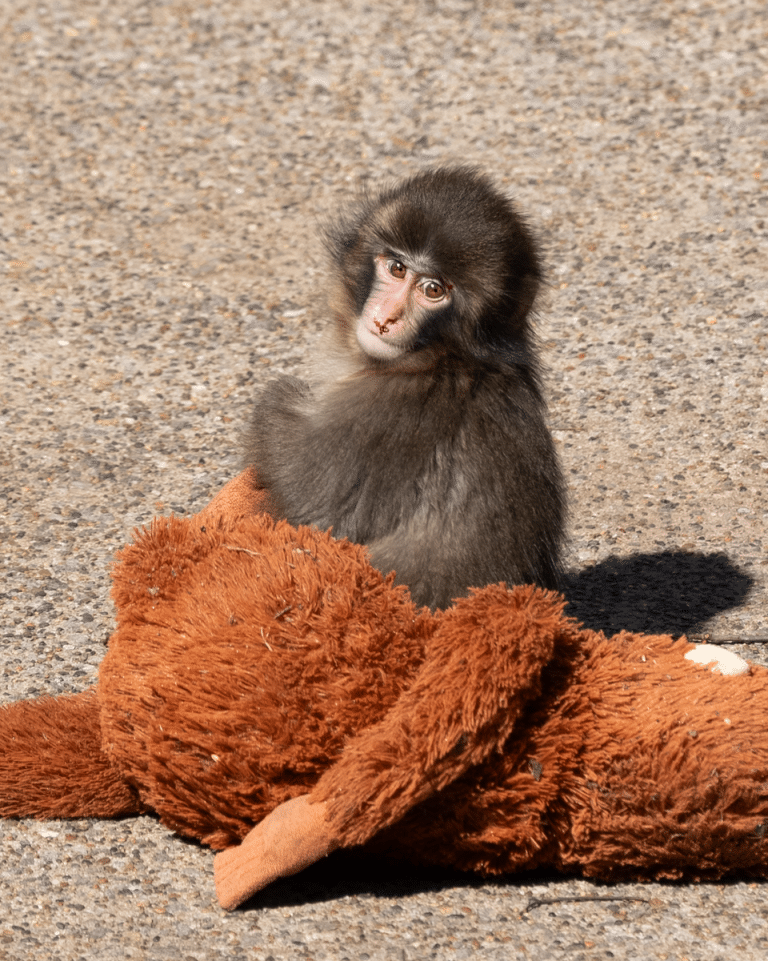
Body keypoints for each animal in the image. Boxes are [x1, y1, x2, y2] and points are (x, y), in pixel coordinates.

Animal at [245, 166, 565, 610]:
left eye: (433, 290)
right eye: (396, 268)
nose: (385, 319)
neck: (444, 359)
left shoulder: (384, 415)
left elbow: (308, 506)